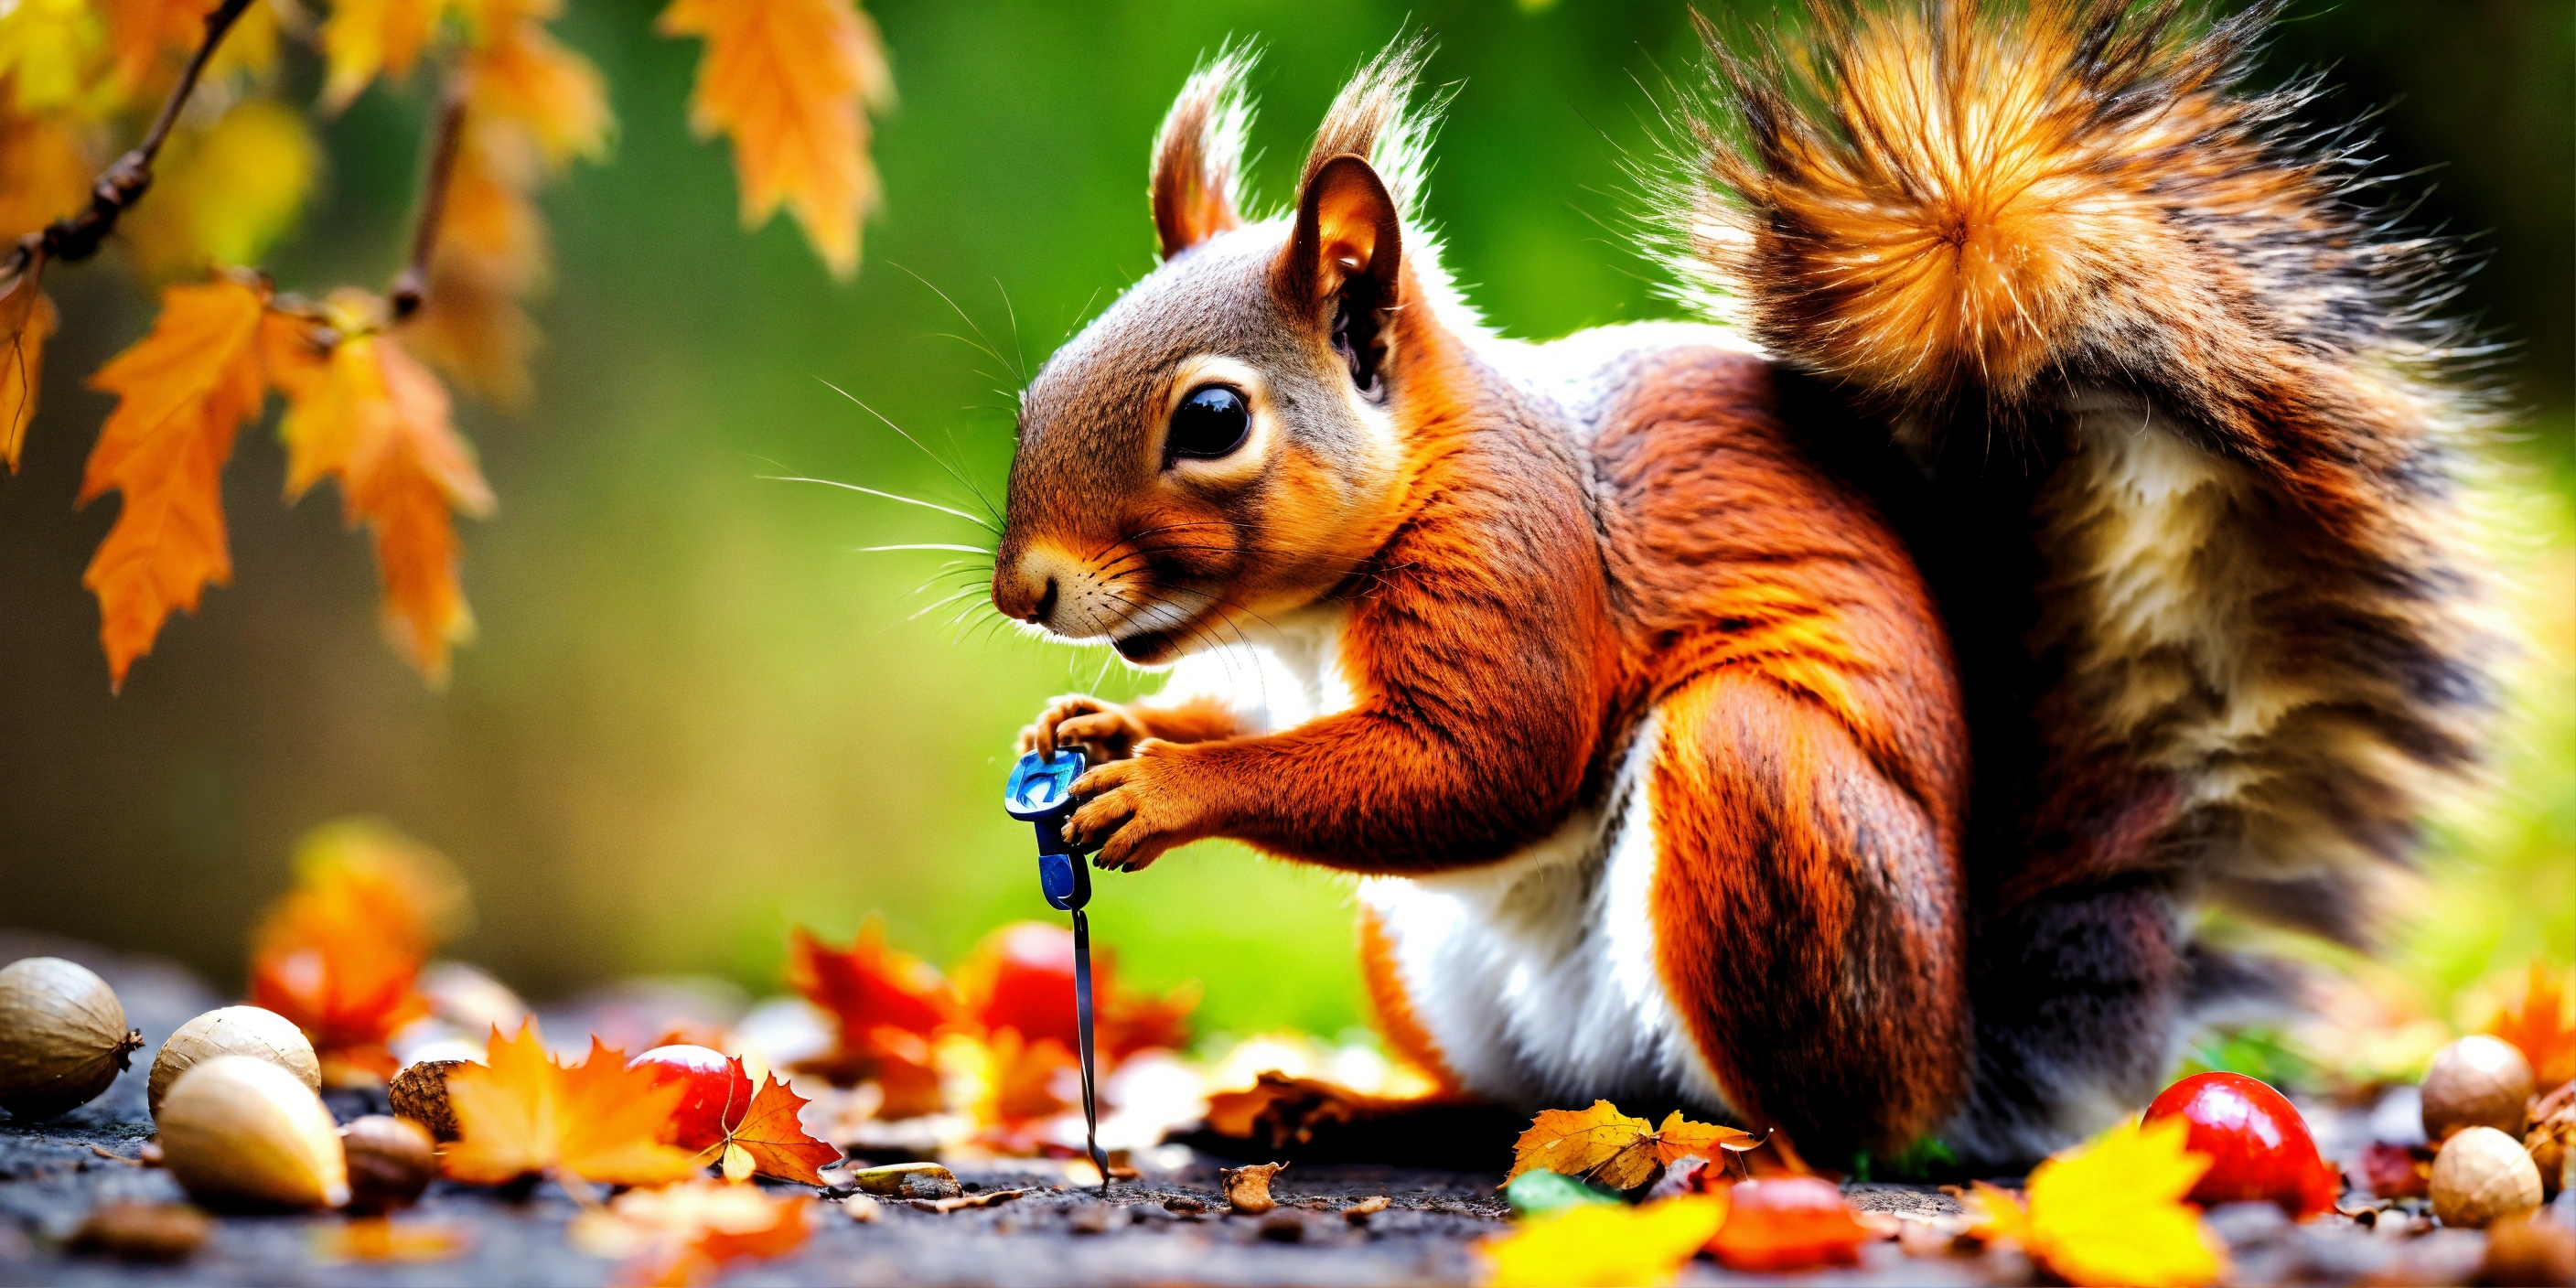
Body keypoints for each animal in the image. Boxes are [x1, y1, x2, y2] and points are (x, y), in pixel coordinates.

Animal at [987, 1, 2499, 1168]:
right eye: (1040, 382)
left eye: (1213, 421)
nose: (1024, 592)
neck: (1314, 606)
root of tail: (1960, 1066)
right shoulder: (1282, 672)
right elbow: (1264, 723)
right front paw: (1095, 733)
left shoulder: (1522, 565)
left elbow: (1484, 767)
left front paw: (1164, 788)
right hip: (1436, 971)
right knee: (1512, 1100)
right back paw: (1355, 1108)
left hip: (1765, 805)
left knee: (1820, 1122)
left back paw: (1734, 1153)